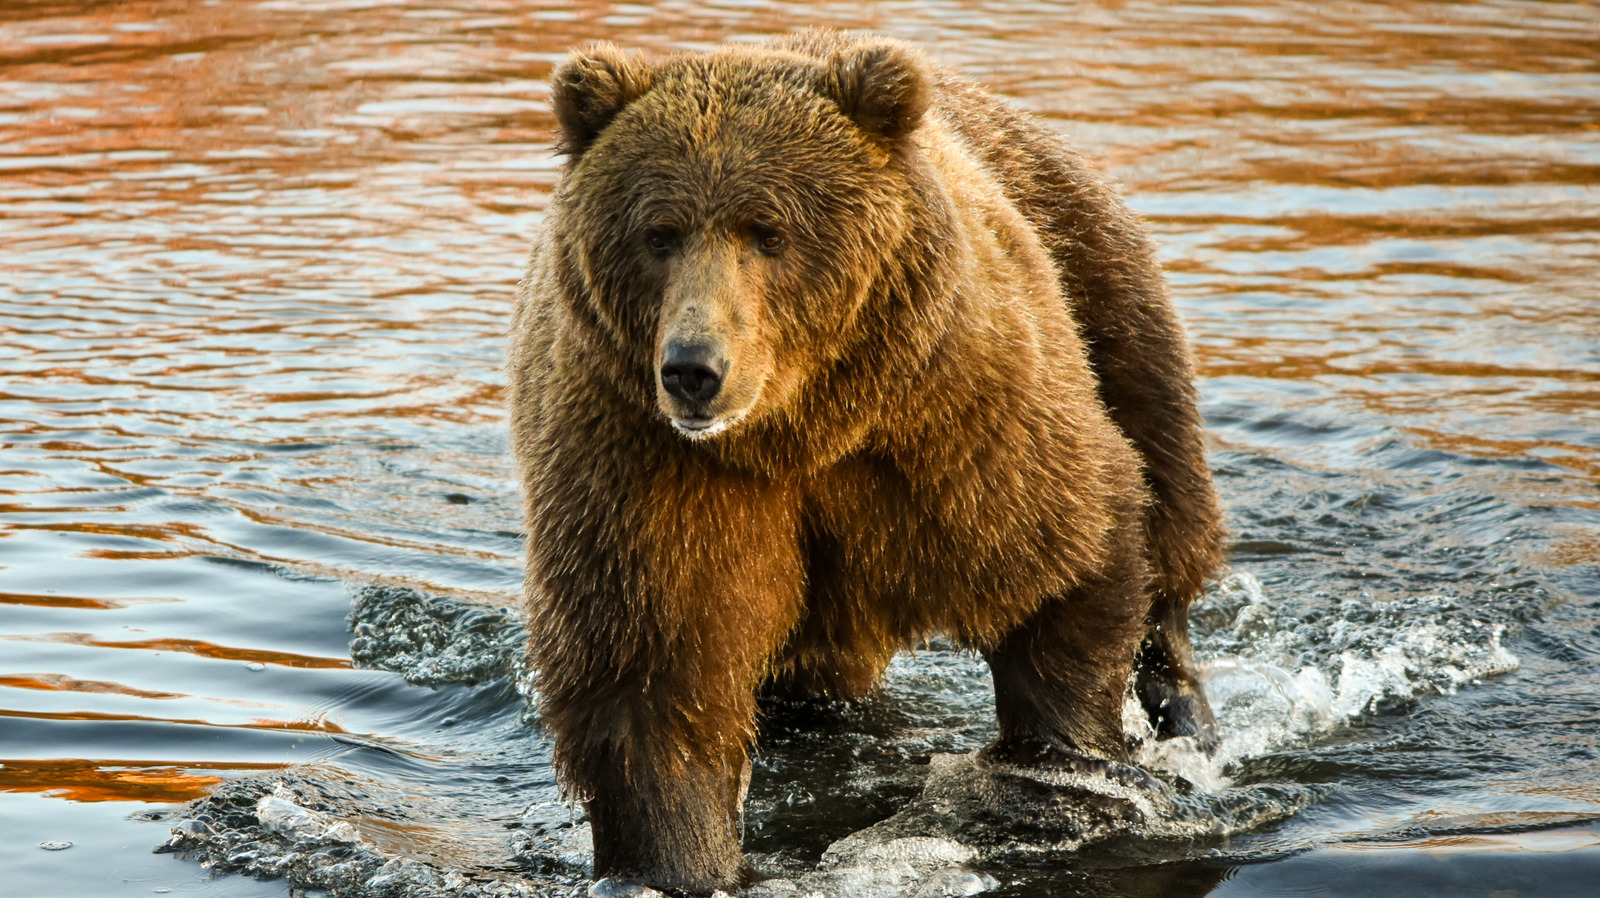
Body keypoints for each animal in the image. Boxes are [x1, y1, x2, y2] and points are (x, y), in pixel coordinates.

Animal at [506, 30, 1225, 895]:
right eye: (659, 233)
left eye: (768, 231)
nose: (692, 368)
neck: (800, 426)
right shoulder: (644, 465)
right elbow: (651, 677)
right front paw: (677, 862)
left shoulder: (956, 414)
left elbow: (1070, 557)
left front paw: (1063, 769)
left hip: (1097, 280)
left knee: (1165, 479)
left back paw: (1186, 710)